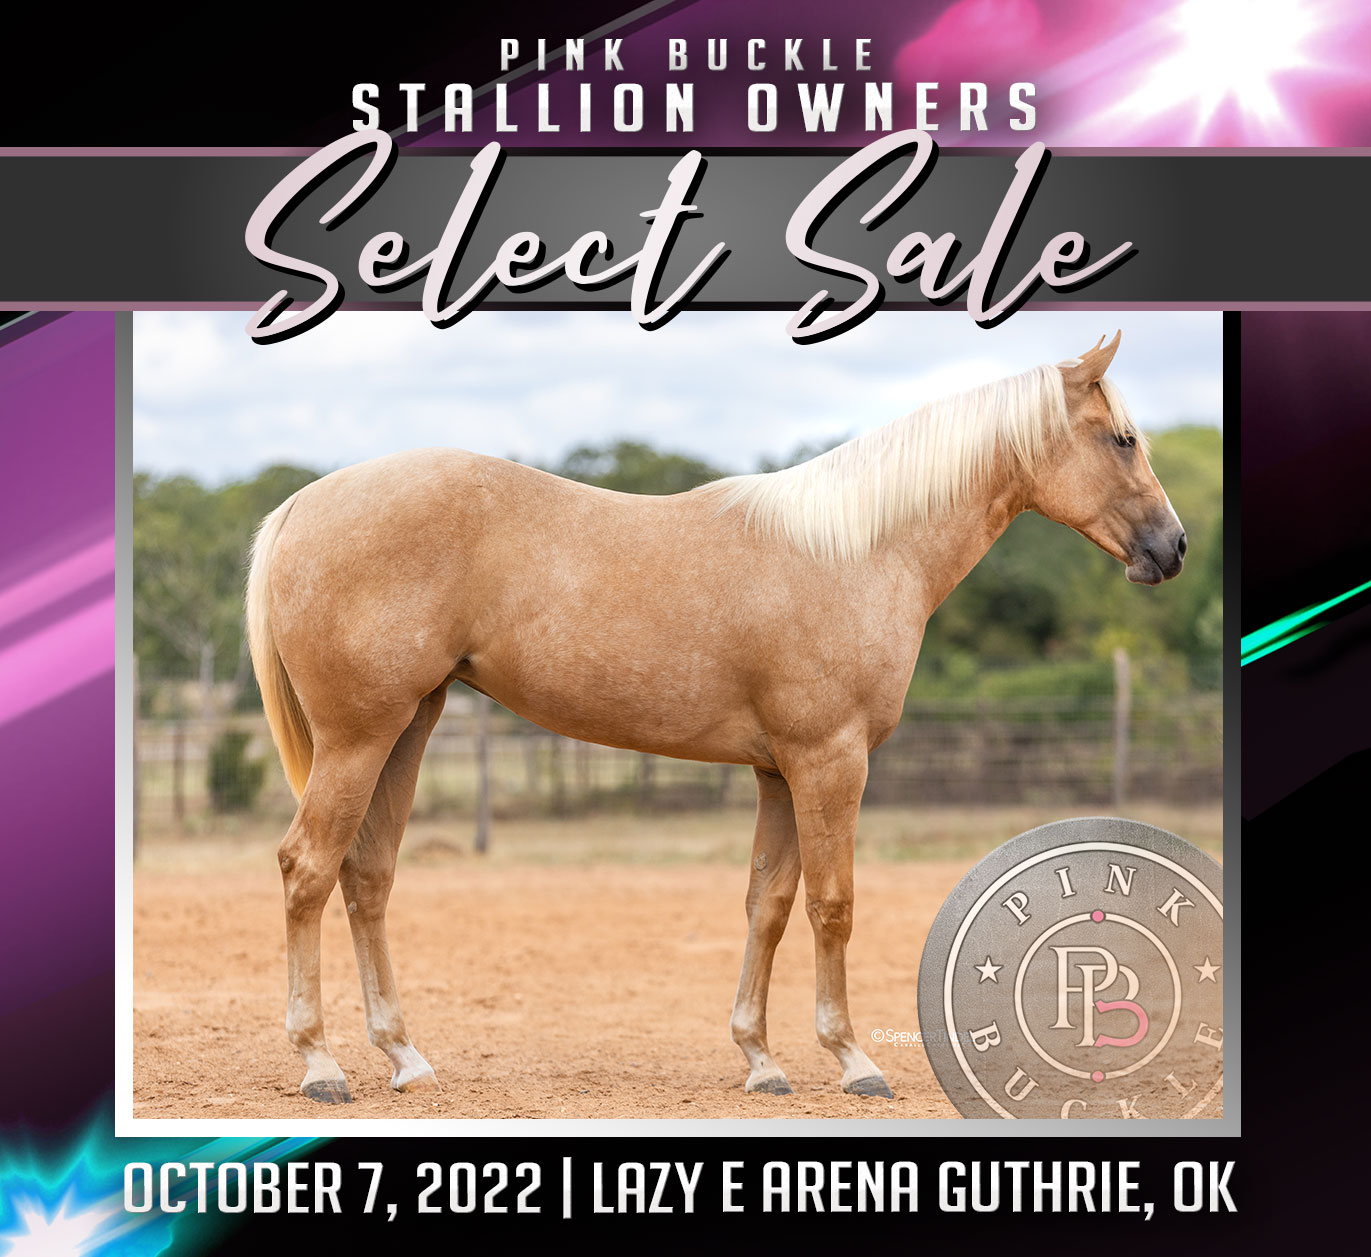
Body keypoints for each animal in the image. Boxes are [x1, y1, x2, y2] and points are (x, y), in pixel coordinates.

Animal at [245, 331, 1186, 1104]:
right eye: (1121, 439)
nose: (1172, 548)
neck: (859, 549)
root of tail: (302, 505)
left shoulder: (777, 769)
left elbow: (766, 904)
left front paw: (760, 1059)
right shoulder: (829, 761)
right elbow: (832, 904)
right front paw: (852, 1060)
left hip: (406, 729)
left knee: (367, 878)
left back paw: (404, 1056)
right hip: (358, 738)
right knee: (306, 870)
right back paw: (321, 1063)